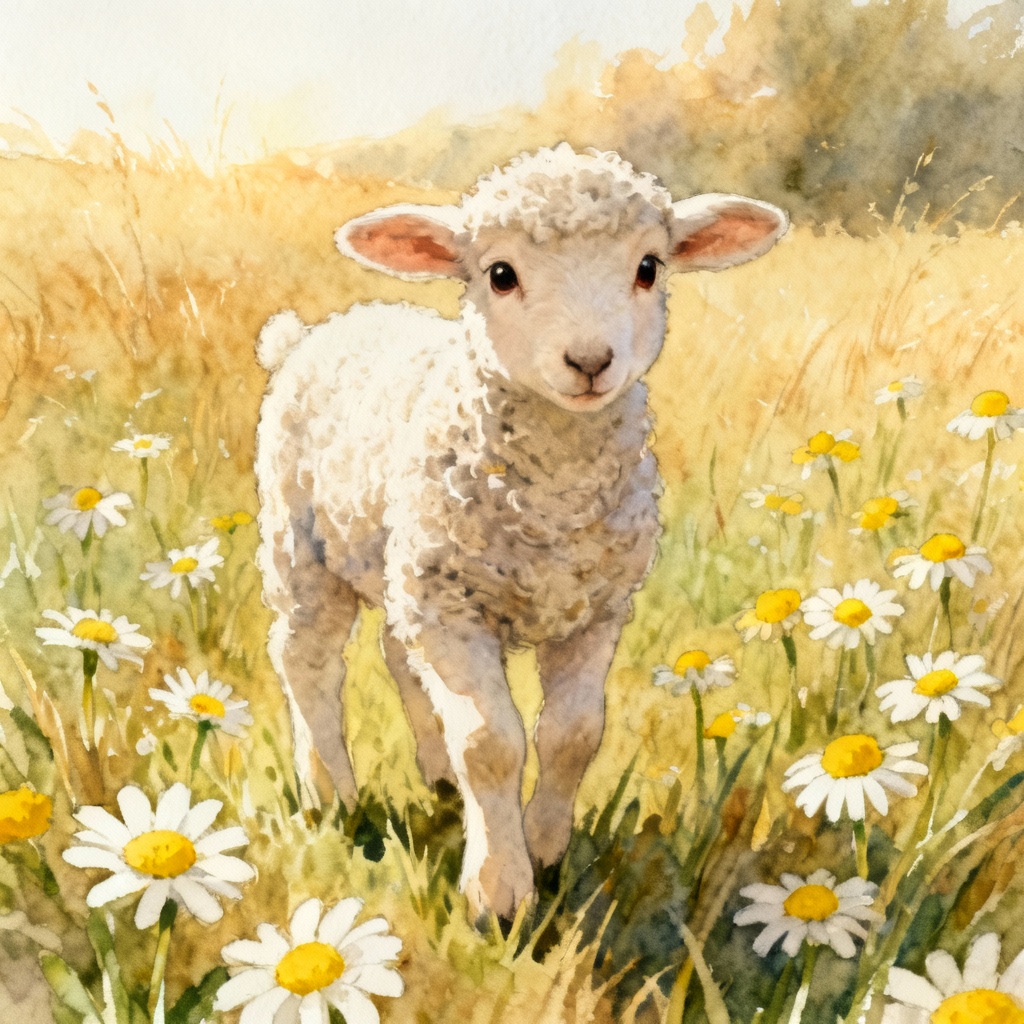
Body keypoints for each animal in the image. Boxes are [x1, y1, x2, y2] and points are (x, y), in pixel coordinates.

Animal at [254, 144, 787, 921]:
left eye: (649, 266)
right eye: (500, 274)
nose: (590, 361)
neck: (552, 504)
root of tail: (327, 326)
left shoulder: (595, 610)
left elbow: (572, 736)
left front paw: (545, 847)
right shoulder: (453, 609)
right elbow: (490, 741)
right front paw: (499, 889)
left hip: (404, 561)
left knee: (396, 655)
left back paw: (438, 780)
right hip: (303, 546)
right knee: (308, 662)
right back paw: (332, 795)